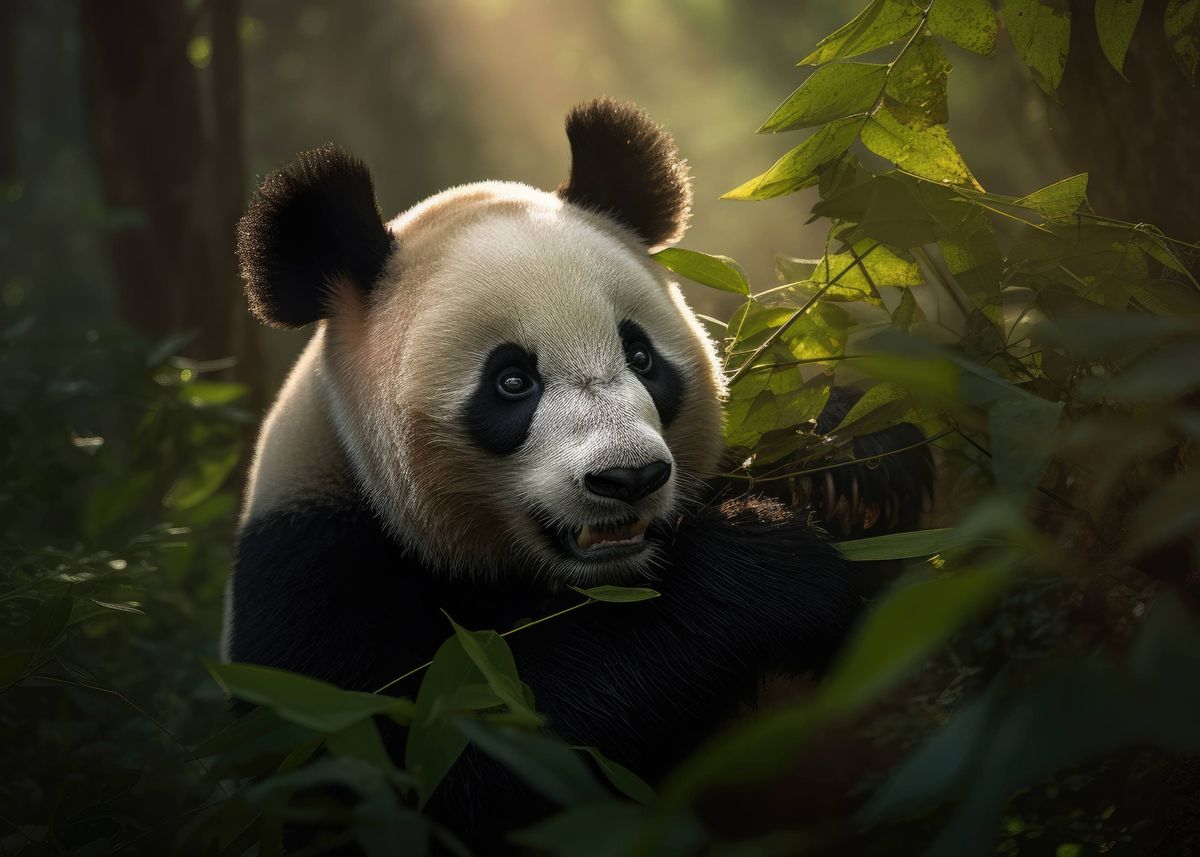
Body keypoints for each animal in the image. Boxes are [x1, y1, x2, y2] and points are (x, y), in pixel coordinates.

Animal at [225, 97, 928, 843]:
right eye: (510, 381)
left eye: (642, 356)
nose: (629, 478)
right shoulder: (314, 583)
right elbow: (436, 766)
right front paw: (770, 567)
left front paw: (856, 461)